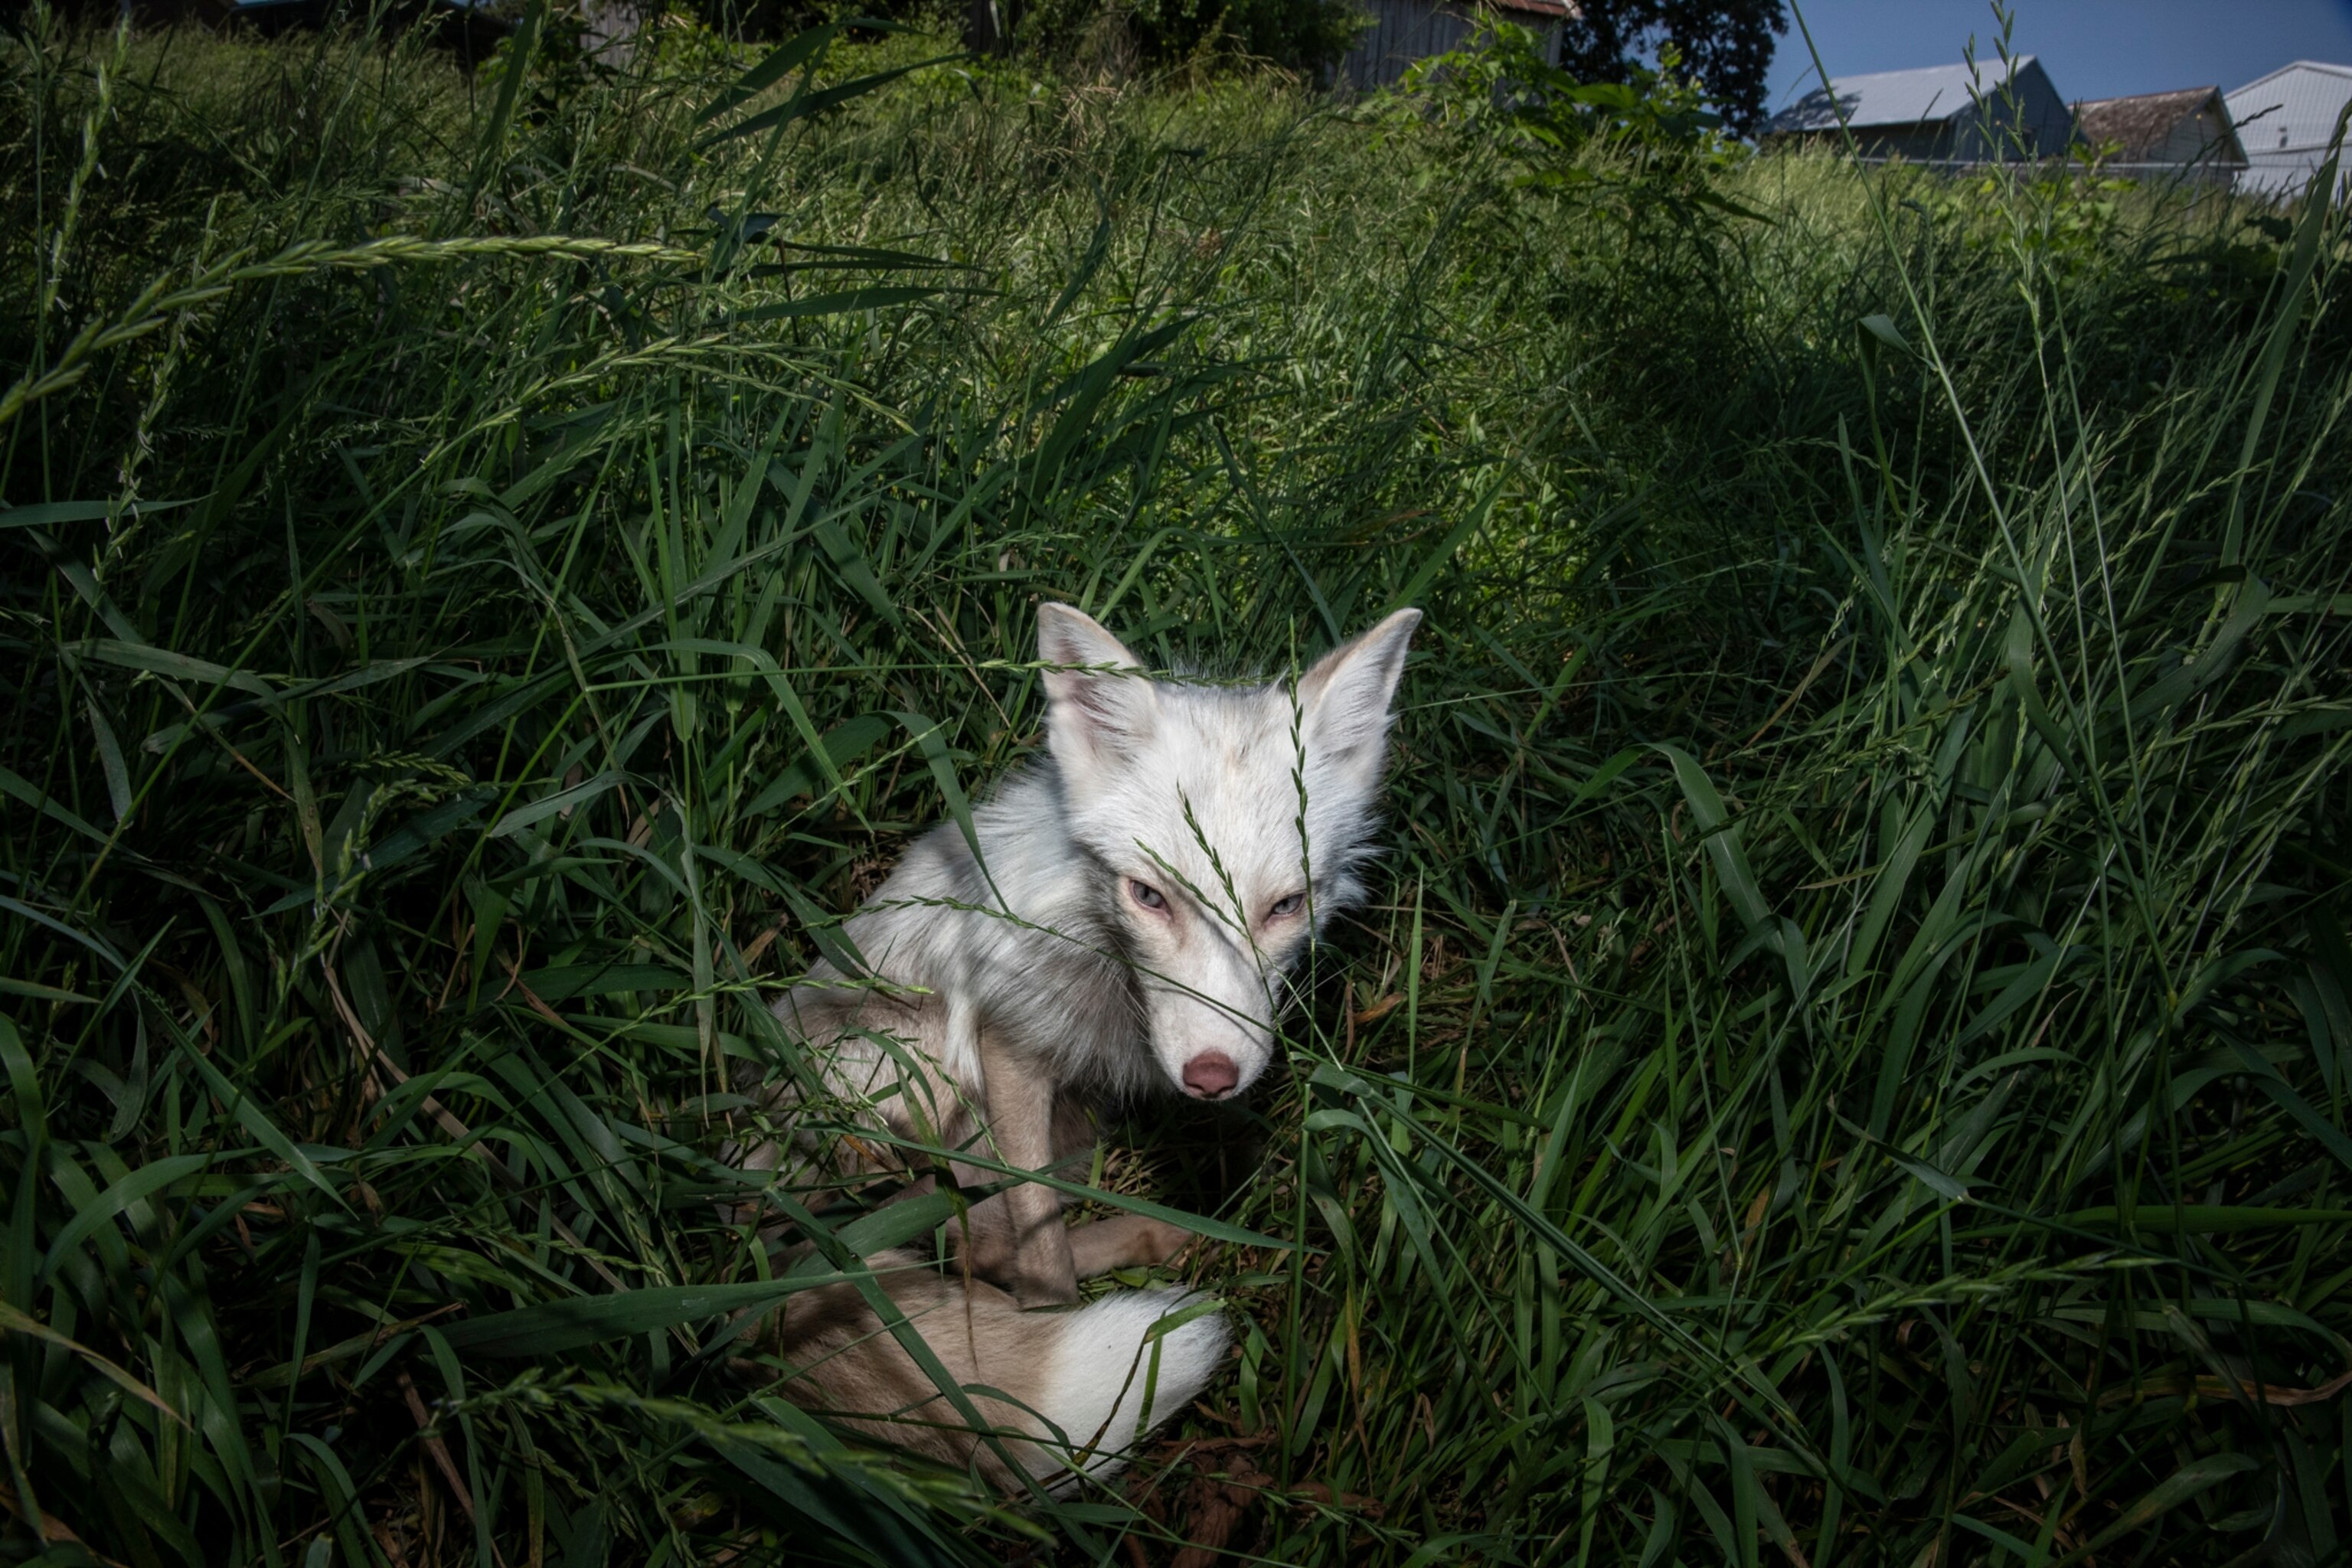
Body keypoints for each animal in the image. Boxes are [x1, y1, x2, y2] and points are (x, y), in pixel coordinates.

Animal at [733, 600, 1422, 1490]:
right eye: (1150, 895)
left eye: (1286, 905)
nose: (1211, 1076)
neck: (1109, 978)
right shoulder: (1009, 1037)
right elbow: (1041, 1242)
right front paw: (1050, 1331)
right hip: (918, 1072)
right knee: (960, 1235)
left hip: (1063, 1127)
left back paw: (1163, 1235)